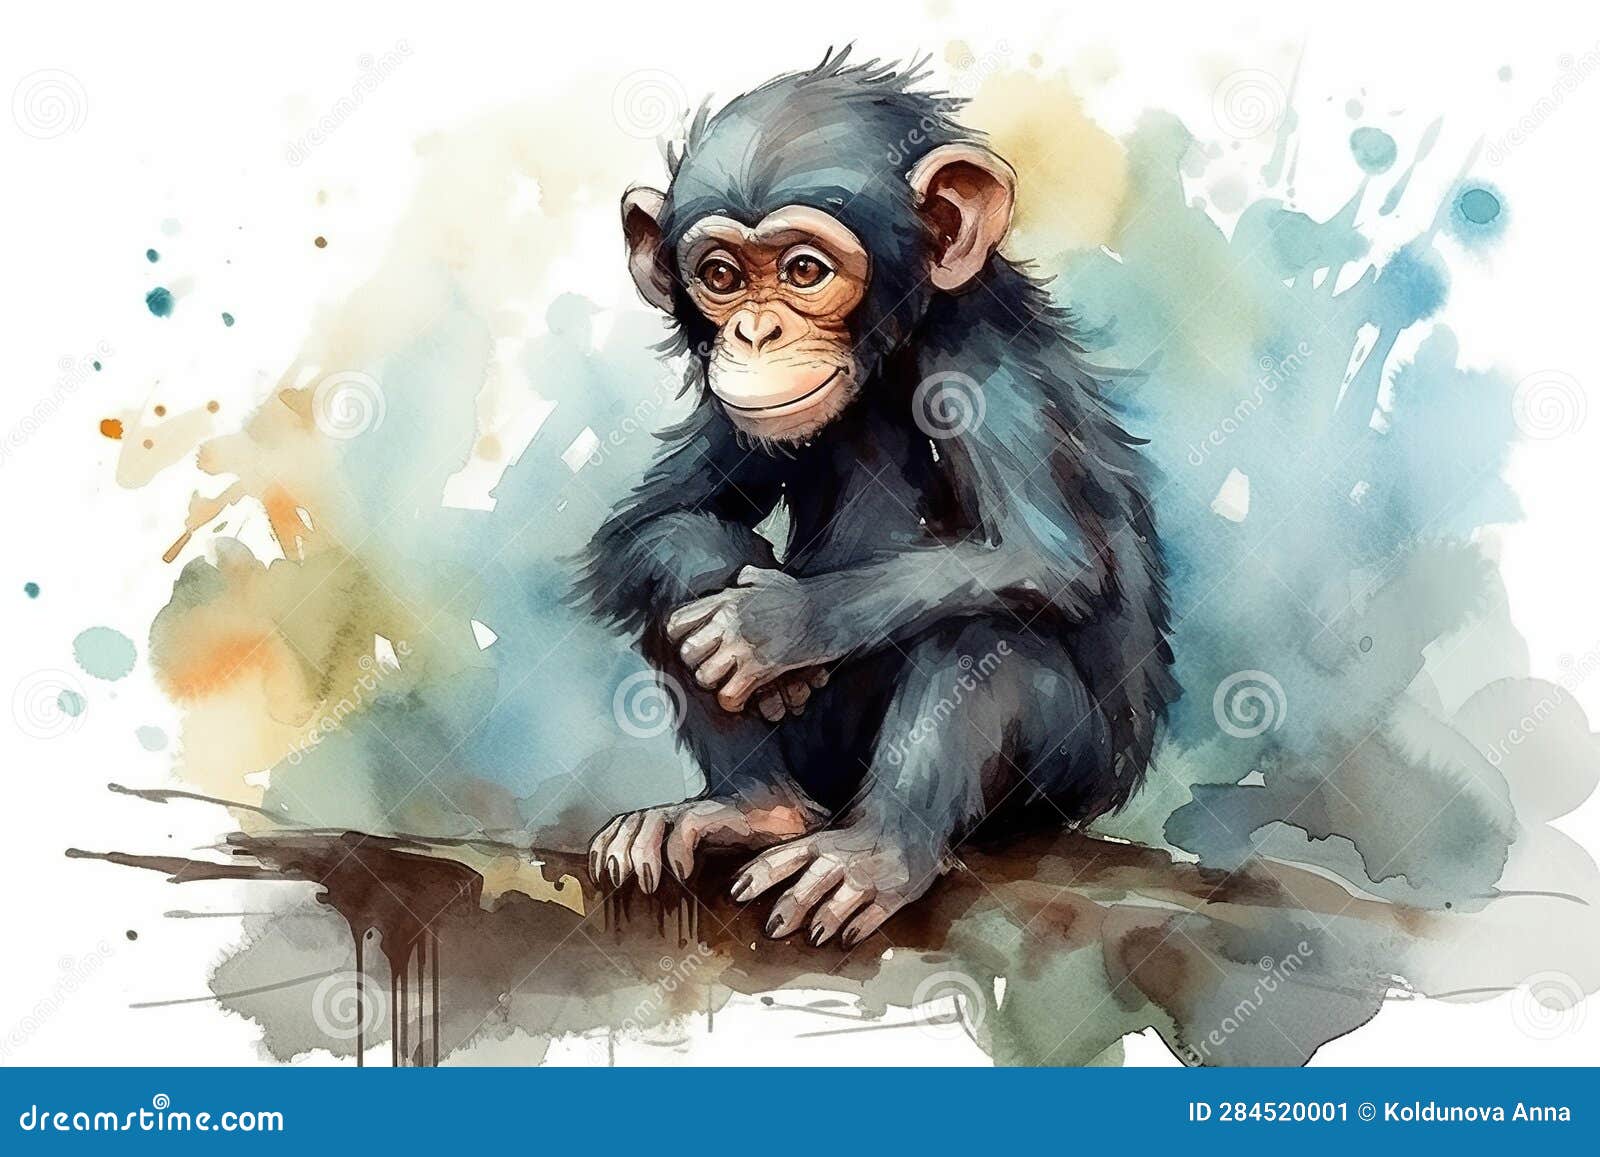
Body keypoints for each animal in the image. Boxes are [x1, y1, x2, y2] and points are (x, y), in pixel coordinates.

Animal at [576, 50, 1176, 948]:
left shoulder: (983, 364)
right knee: (667, 588)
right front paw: (723, 565)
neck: (893, 346)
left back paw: (874, 853)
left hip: (1059, 782)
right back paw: (752, 809)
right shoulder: (732, 412)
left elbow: (1047, 557)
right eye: (720, 276)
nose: (755, 332)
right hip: (821, 765)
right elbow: (645, 527)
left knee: (982, 636)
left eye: (804, 270)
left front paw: (772, 623)